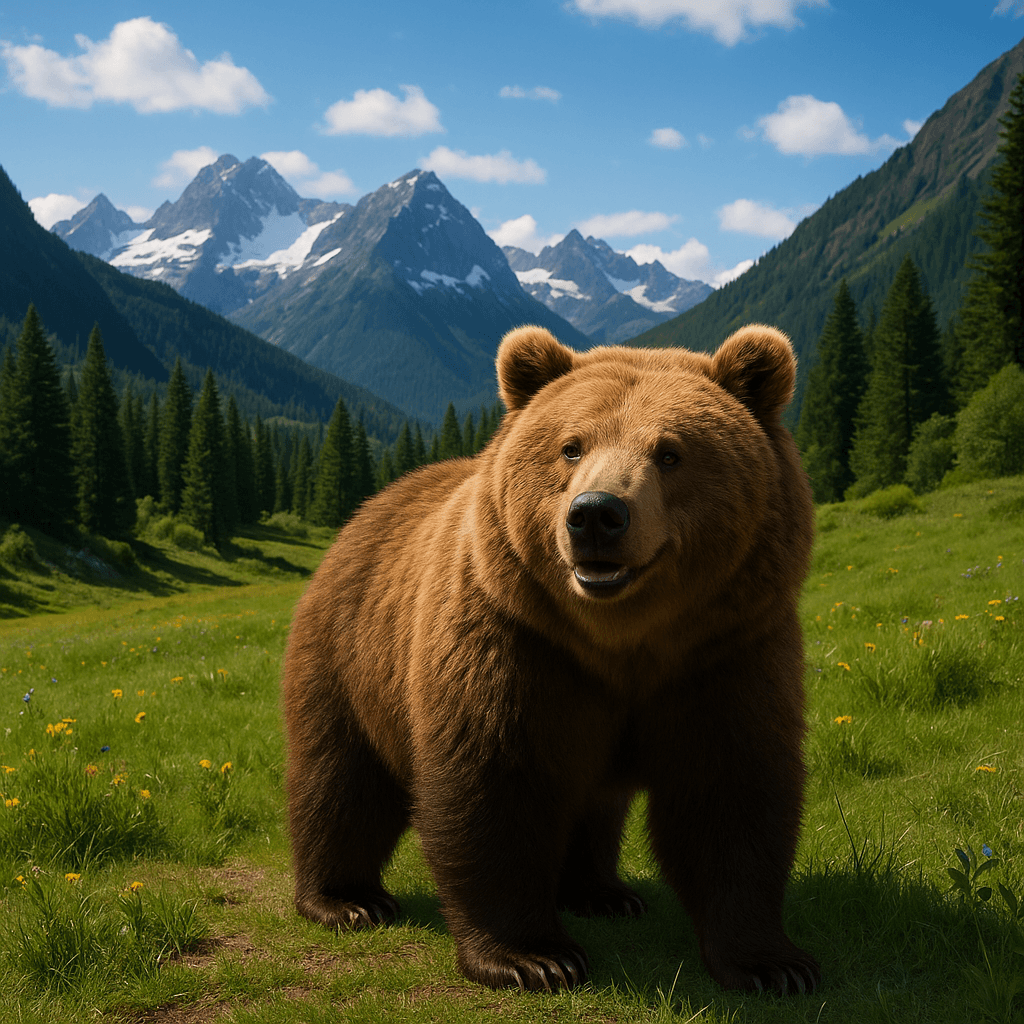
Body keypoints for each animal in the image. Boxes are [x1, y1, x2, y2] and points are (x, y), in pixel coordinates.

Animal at [282, 323, 819, 995]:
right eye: (571, 447)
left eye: (671, 452)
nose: (596, 513)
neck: (620, 641)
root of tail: (369, 507)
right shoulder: (517, 644)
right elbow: (497, 783)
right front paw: (533, 956)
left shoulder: (726, 650)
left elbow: (731, 790)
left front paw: (773, 963)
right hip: (349, 654)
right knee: (342, 779)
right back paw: (347, 899)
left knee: (593, 804)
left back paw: (601, 892)